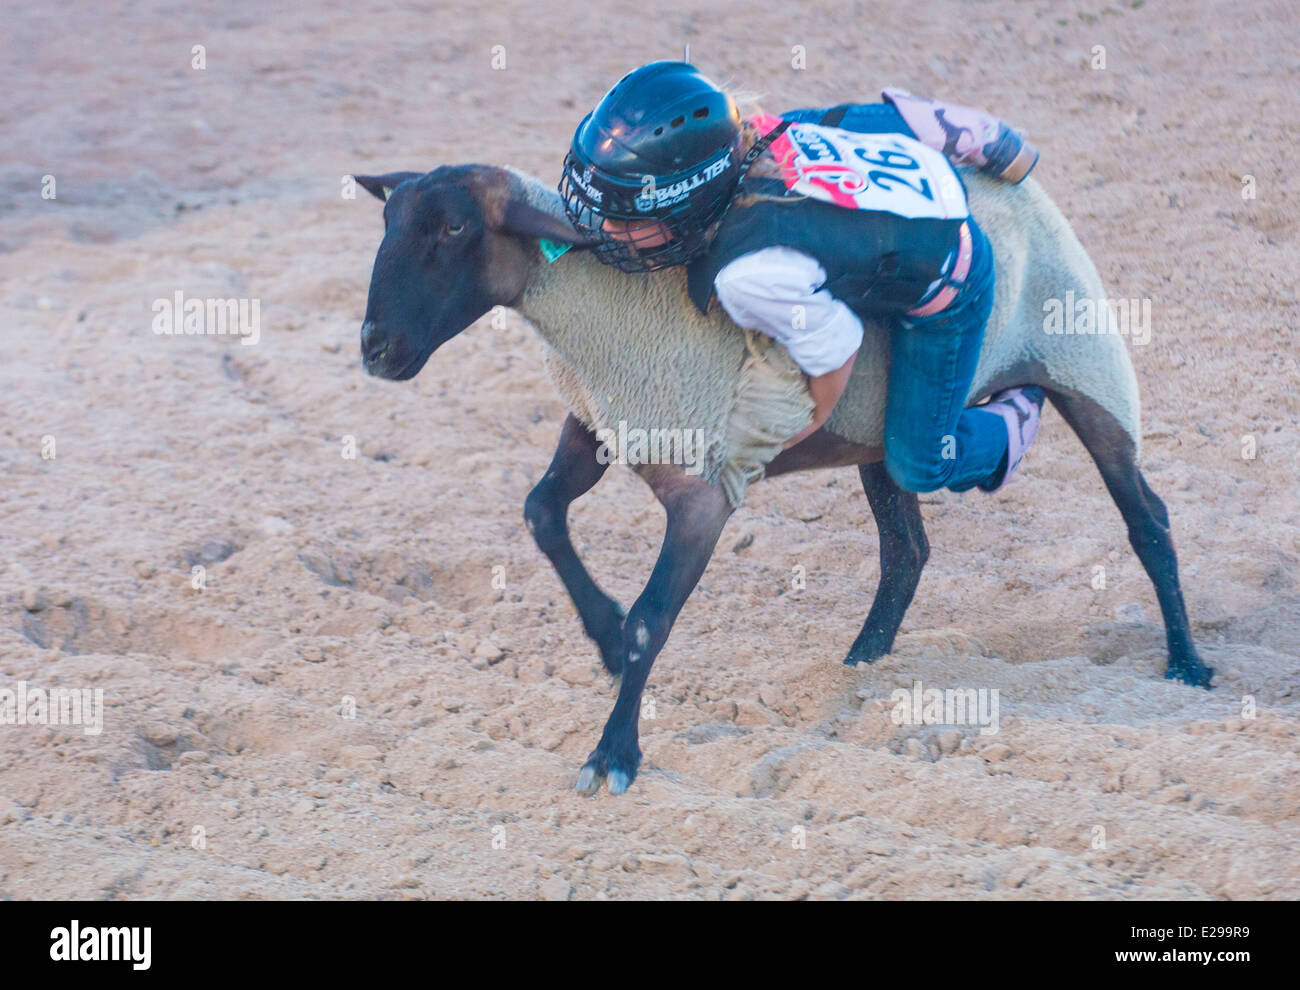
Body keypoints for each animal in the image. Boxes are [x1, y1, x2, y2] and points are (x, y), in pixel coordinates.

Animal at [352, 161, 1212, 796]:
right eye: (389, 223)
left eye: (454, 227)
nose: (374, 349)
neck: (607, 305)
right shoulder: (598, 426)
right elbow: (540, 513)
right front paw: (600, 635)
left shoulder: (704, 494)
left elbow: (651, 621)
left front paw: (613, 755)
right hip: (887, 435)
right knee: (908, 550)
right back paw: (862, 663)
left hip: (1084, 366)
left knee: (1148, 519)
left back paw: (1187, 664)